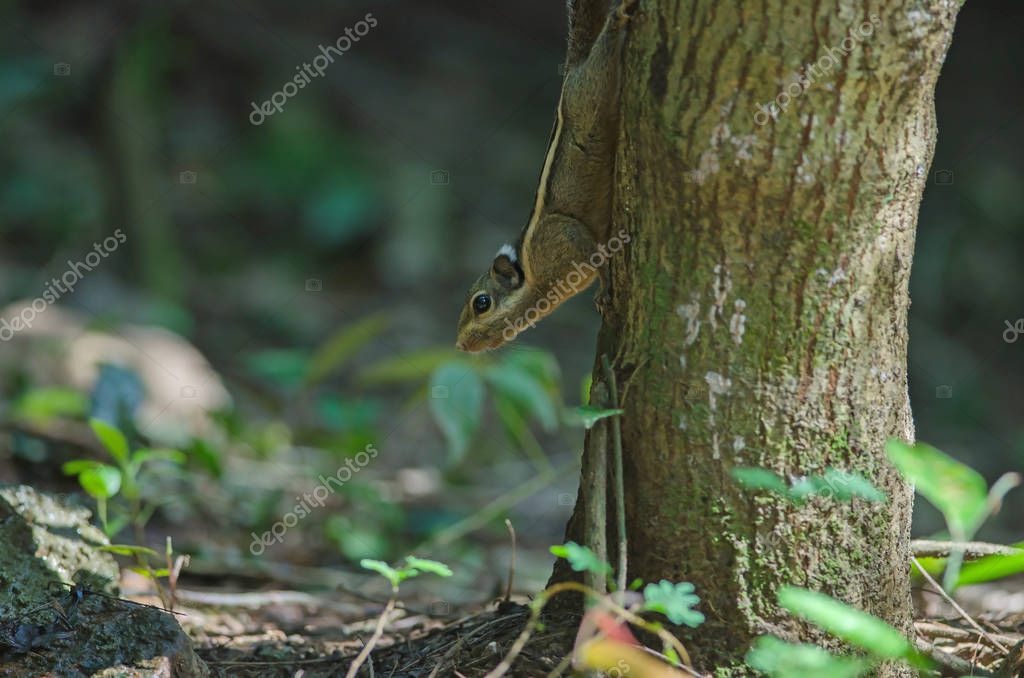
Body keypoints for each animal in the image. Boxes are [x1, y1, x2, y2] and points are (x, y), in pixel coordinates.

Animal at [455, 0, 637, 353]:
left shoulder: (564, 237)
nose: (459, 346)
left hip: (591, 90)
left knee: (603, 58)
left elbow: (595, 255)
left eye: (481, 303)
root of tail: (571, 69)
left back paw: (617, 17)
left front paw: (604, 291)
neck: (534, 278)